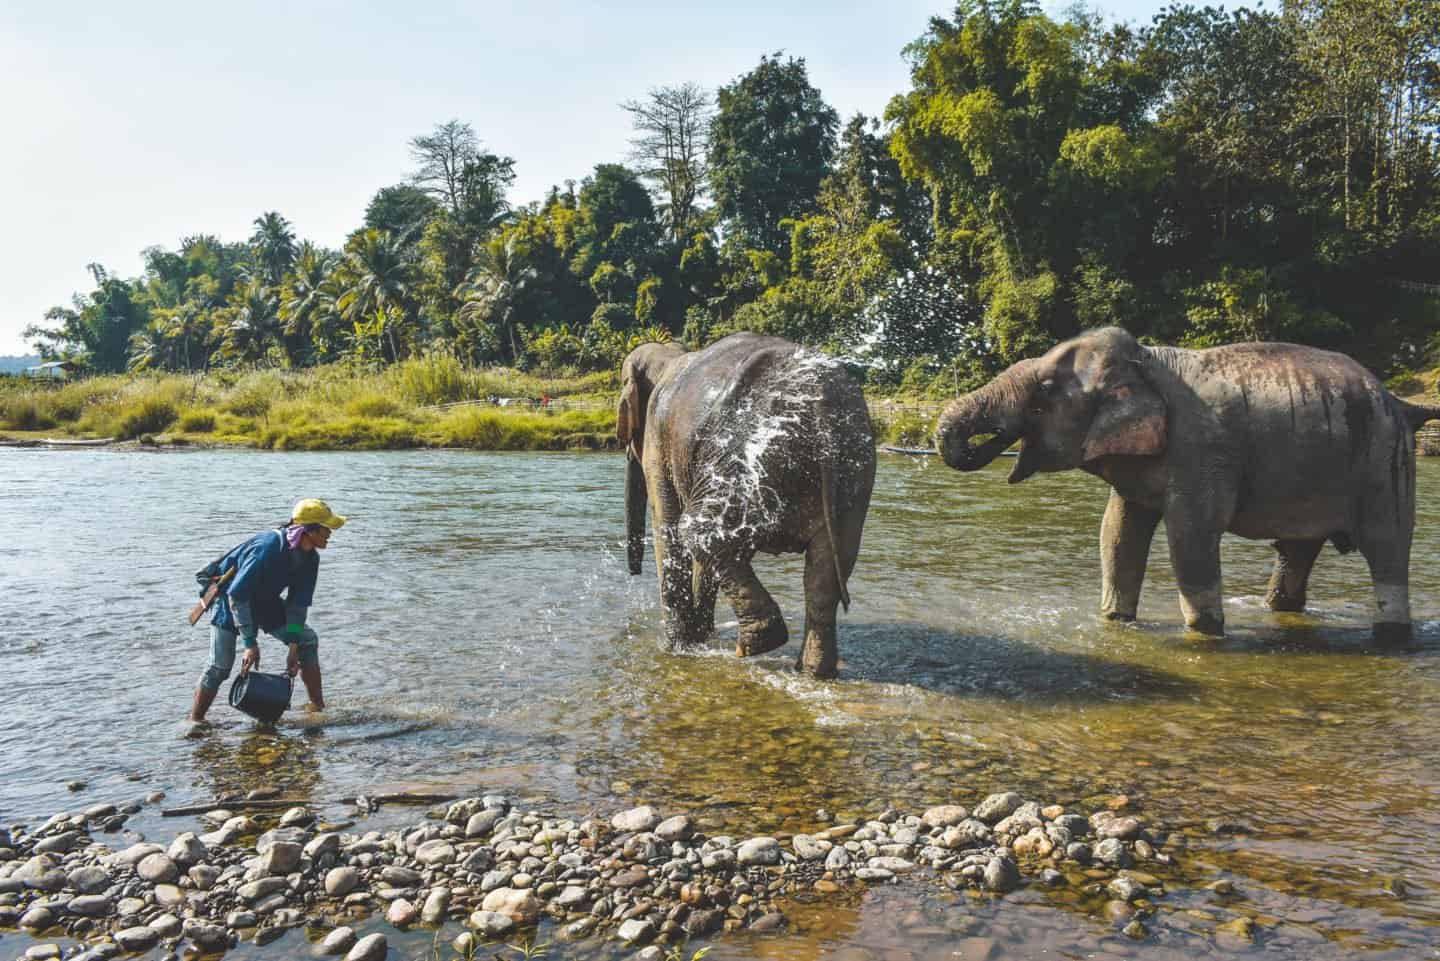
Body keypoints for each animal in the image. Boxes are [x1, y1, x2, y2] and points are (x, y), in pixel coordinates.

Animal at [617, 332, 876, 678]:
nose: (633, 572)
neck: (670, 354)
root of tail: (820, 402)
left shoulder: (659, 443)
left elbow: (669, 530)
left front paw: (677, 650)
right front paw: (699, 640)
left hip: (746, 456)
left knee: (699, 532)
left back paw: (758, 644)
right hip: (851, 470)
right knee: (826, 572)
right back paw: (812, 672)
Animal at [935, 326, 1440, 642]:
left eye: (1042, 392)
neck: (1148, 361)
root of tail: (1401, 402)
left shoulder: (1201, 450)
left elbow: (1190, 534)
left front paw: (1204, 633)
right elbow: (1117, 531)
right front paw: (1115, 621)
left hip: (1384, 463)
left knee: (1386, 546)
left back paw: (1392, 635)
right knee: (1297, 549)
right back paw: (1282, 610)